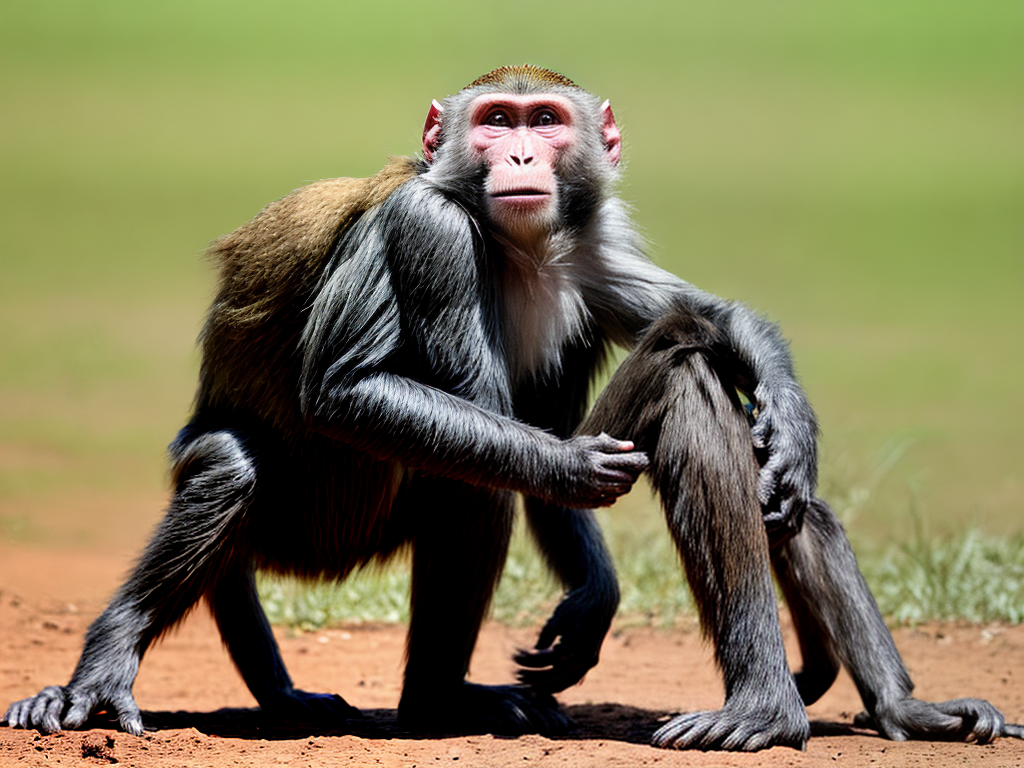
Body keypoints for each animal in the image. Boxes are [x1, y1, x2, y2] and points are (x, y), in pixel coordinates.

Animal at [3, 65, 819, 738]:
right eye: (497, 120)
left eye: (545, 120)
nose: (520, 157)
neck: (518, 250)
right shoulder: (432, 230)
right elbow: (353, 393)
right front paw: (571, 466)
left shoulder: (592, 244)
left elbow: (706, 317)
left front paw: (787, 427)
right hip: (325, 520)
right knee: (397, 476)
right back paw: (431, 700)